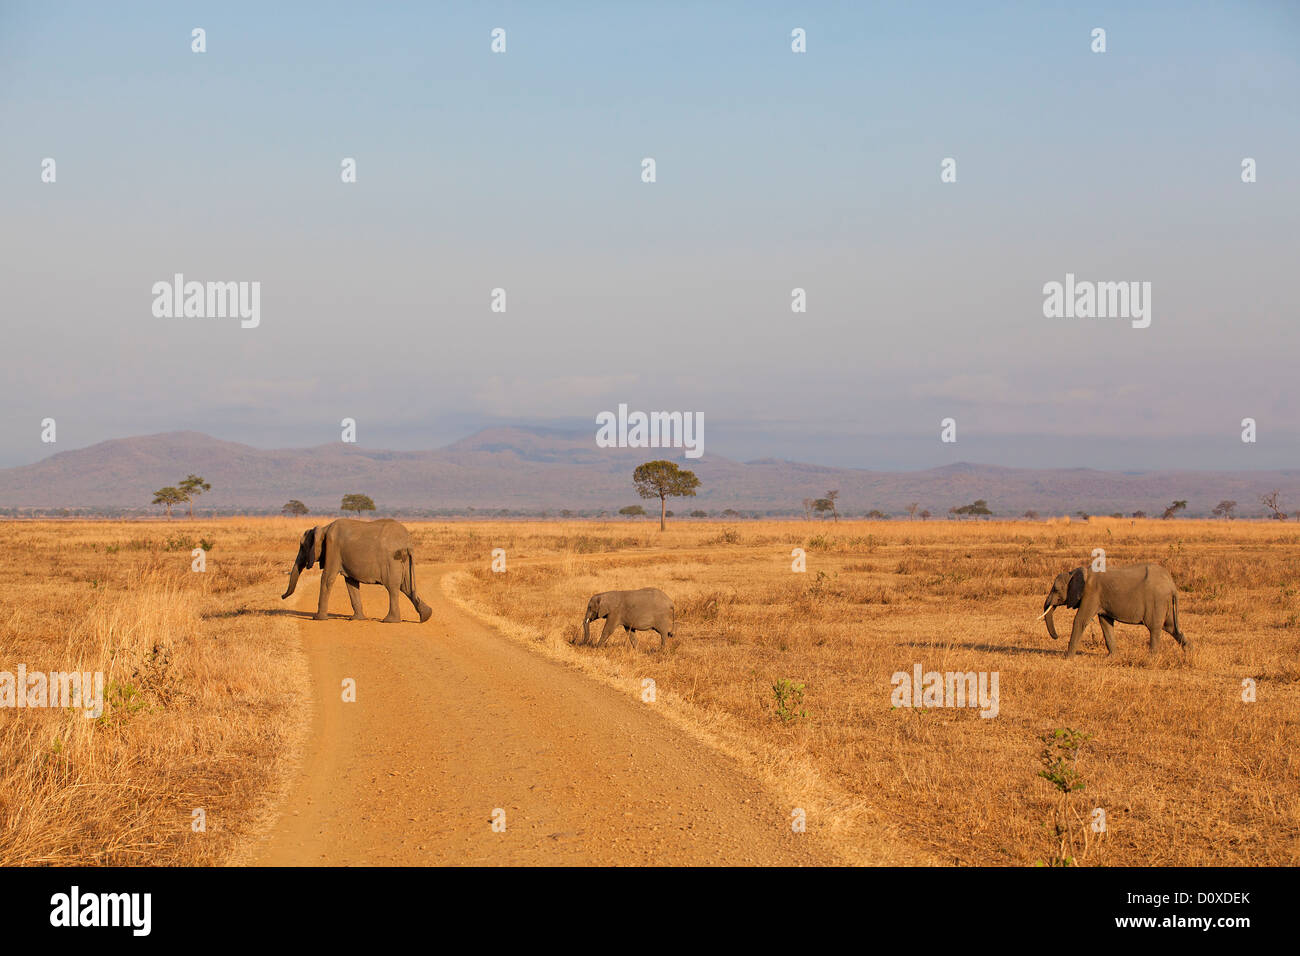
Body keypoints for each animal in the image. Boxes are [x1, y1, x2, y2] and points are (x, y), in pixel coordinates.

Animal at [282, 518, 433, 624]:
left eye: (302, 546)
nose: (282, 597)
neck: (324, 528)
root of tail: (407, 543)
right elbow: (351, 583)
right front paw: (357, 619)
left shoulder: (333, 548)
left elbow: (327, 578)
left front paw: (318, 618)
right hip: (403, 561)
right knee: (406, 587)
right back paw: (426, 616)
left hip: (392, 561)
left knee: (393, 588)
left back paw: (389, 621)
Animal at [1038, 563, 1190, 659]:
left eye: (1056, 589)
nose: (1056, 636)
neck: (1075, 572)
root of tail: (1172, 585)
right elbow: (1105, 623)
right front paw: (1111, 658)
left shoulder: (1091, 593)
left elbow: (1080, 620)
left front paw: (1067, 657)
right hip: (1165, 604)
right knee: (1172, 628)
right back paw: (1190, 653)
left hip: (1157, 601)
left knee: (1155, 628)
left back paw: (1151, 659)